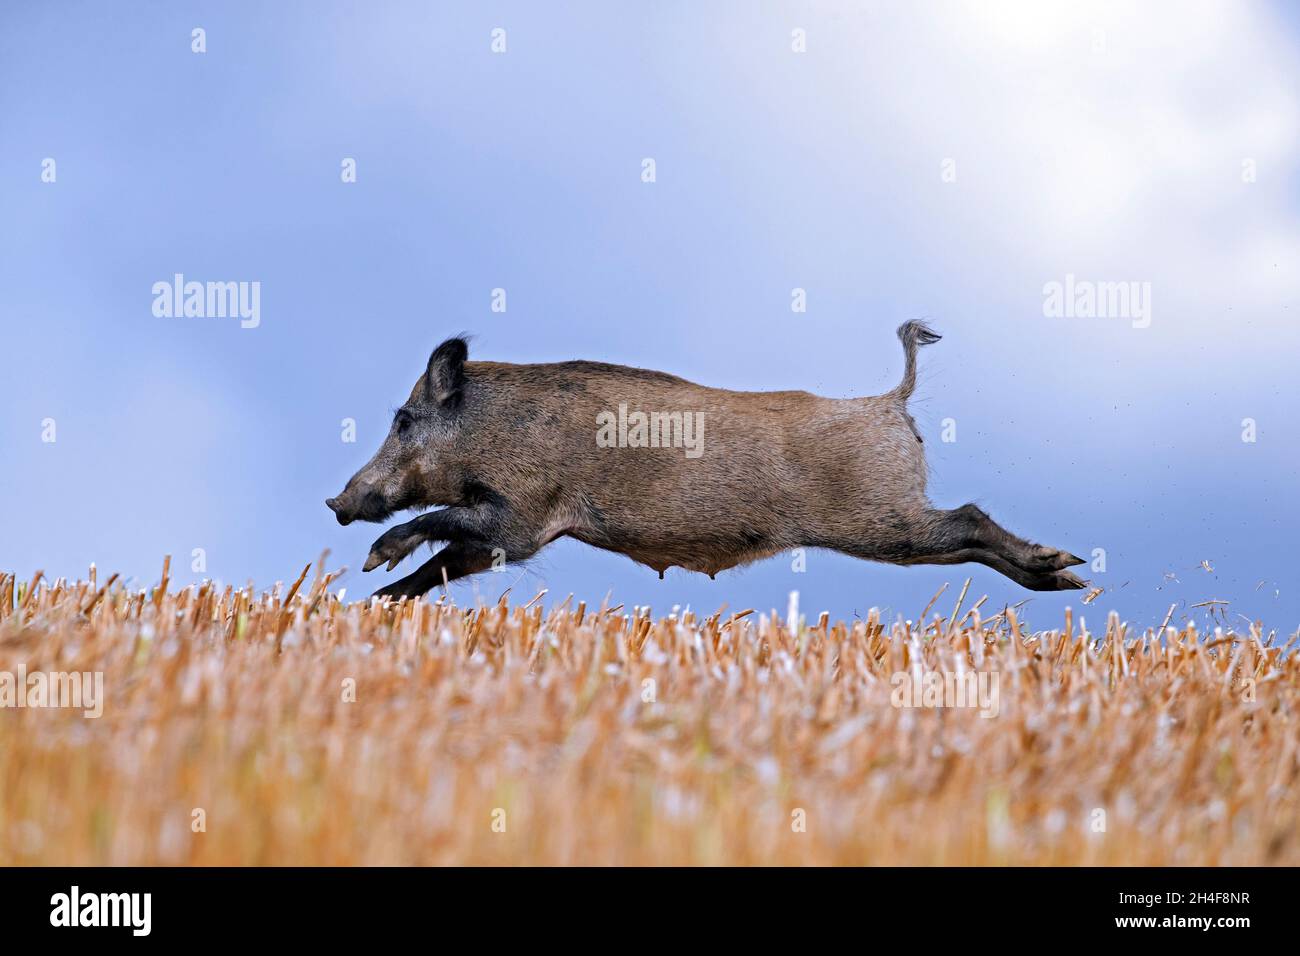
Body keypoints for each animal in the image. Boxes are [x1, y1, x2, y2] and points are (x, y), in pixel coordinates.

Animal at [326, 323, 1087, 599]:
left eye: (403, 420)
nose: (336, 503)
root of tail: (891, 402)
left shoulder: (525, 515)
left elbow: (439, 527)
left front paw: (371, 565)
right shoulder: (513, 536)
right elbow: (442, 565)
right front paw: (372, 604)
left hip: (881, 519)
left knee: (970, 517)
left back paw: (1065, 567)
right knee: (966, 540)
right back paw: (1065, 580)